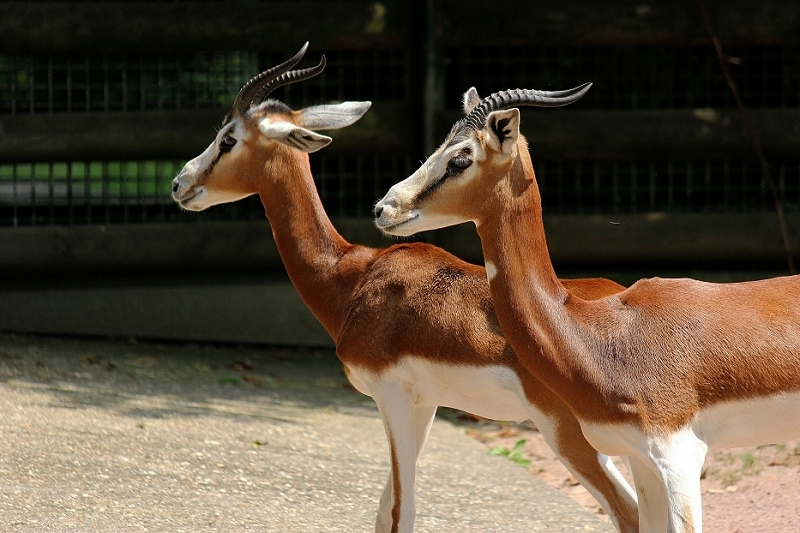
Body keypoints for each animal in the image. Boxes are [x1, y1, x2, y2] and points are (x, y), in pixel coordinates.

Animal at [172, 45, 639, 533]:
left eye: (228, 138)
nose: (179, 183)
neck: (354, 275)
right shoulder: (424, 404)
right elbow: (384, 509)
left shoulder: (391, 396)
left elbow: (400, 509)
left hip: (566, 433)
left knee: (629, 511)